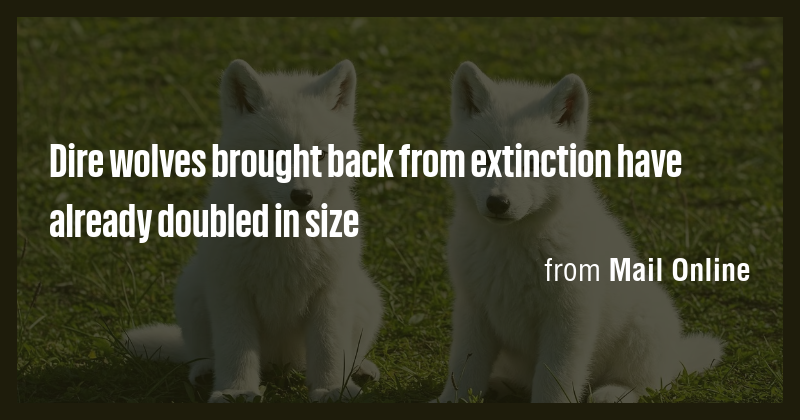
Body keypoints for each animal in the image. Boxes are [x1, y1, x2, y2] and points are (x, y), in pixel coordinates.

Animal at [124, 59, 383, 403]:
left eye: (321, 154)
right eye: (274, 154)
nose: (302, 196)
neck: (287, 236)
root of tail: (283, 364)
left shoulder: (330, 293)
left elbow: (329, 348)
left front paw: (331, 390)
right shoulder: (232, 292)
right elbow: (236, 351)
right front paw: (235, 392)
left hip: (365, 296)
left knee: (346, 352)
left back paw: (360, 371)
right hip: (192, 292)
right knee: (200, 353)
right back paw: (205, 373)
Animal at [433, 62, 723, 403]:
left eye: (533, 161)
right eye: (482, 157)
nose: (498, 203)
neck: (513, 242)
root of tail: (674, 356)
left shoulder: (569, 318)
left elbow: (554, 381)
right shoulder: (473, 309)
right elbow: (465, 370)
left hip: (643, 330)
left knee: (649, 383)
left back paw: (613, 393)